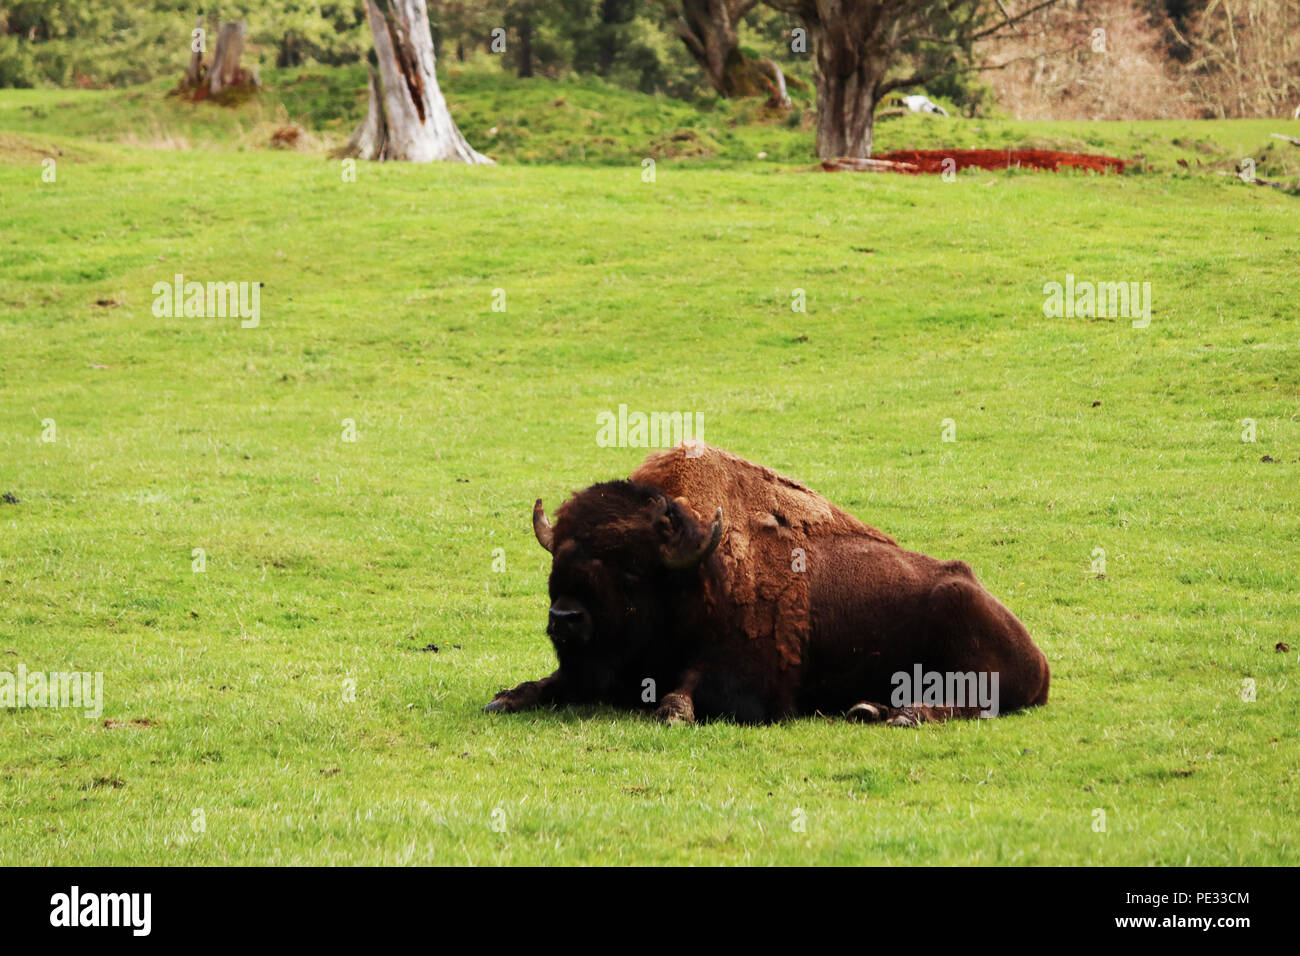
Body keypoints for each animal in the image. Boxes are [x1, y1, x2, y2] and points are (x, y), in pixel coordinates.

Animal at [485, 443, 1049, 726]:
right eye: (557, 562)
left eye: (630, 569)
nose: (565, 618)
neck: (696, 576)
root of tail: (1039, 661)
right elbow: (547, 685)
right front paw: (504, 699)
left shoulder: (751, 681)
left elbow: (685, 695)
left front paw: (674, 713)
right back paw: (868, 709)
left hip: (964, 629)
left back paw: (898, 716)